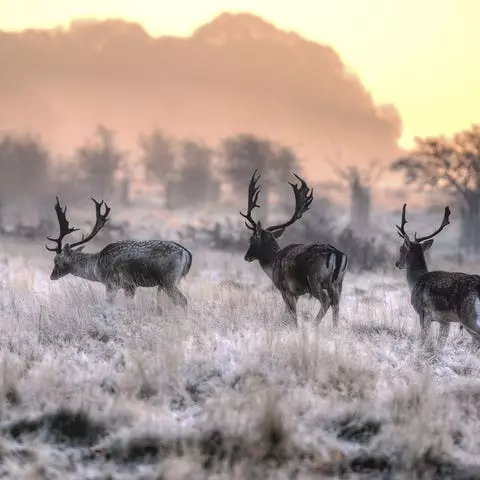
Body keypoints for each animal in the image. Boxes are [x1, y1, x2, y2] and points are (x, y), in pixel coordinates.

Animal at [45, 197, 191, 310]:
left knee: (183, 301)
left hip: (168, 280)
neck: (96, 268)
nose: (52, 276)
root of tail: (187, 254)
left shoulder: (113, 283)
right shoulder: (130, 286)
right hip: (170, 281)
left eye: (56, 260)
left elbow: (111, 304)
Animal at [240, 169, 348, 326]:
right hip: (338, 283)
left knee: (326, 301)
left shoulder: (285, 288)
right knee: (336, 304)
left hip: (314, 279)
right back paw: (334, 328)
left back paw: (314, 325)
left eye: (252, 240)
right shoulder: (295, 294)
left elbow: (292, 314)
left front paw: (294, 327)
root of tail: (337, 254)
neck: (272, 264)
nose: (246, 256)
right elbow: (287, 313)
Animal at [396, 204, 480, 346]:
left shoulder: (423, 312)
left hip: (468, 315)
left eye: (401, 249)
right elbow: (440, 344)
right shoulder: (444, 321)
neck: (416, 281)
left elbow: (423, 338)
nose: (397, 263)